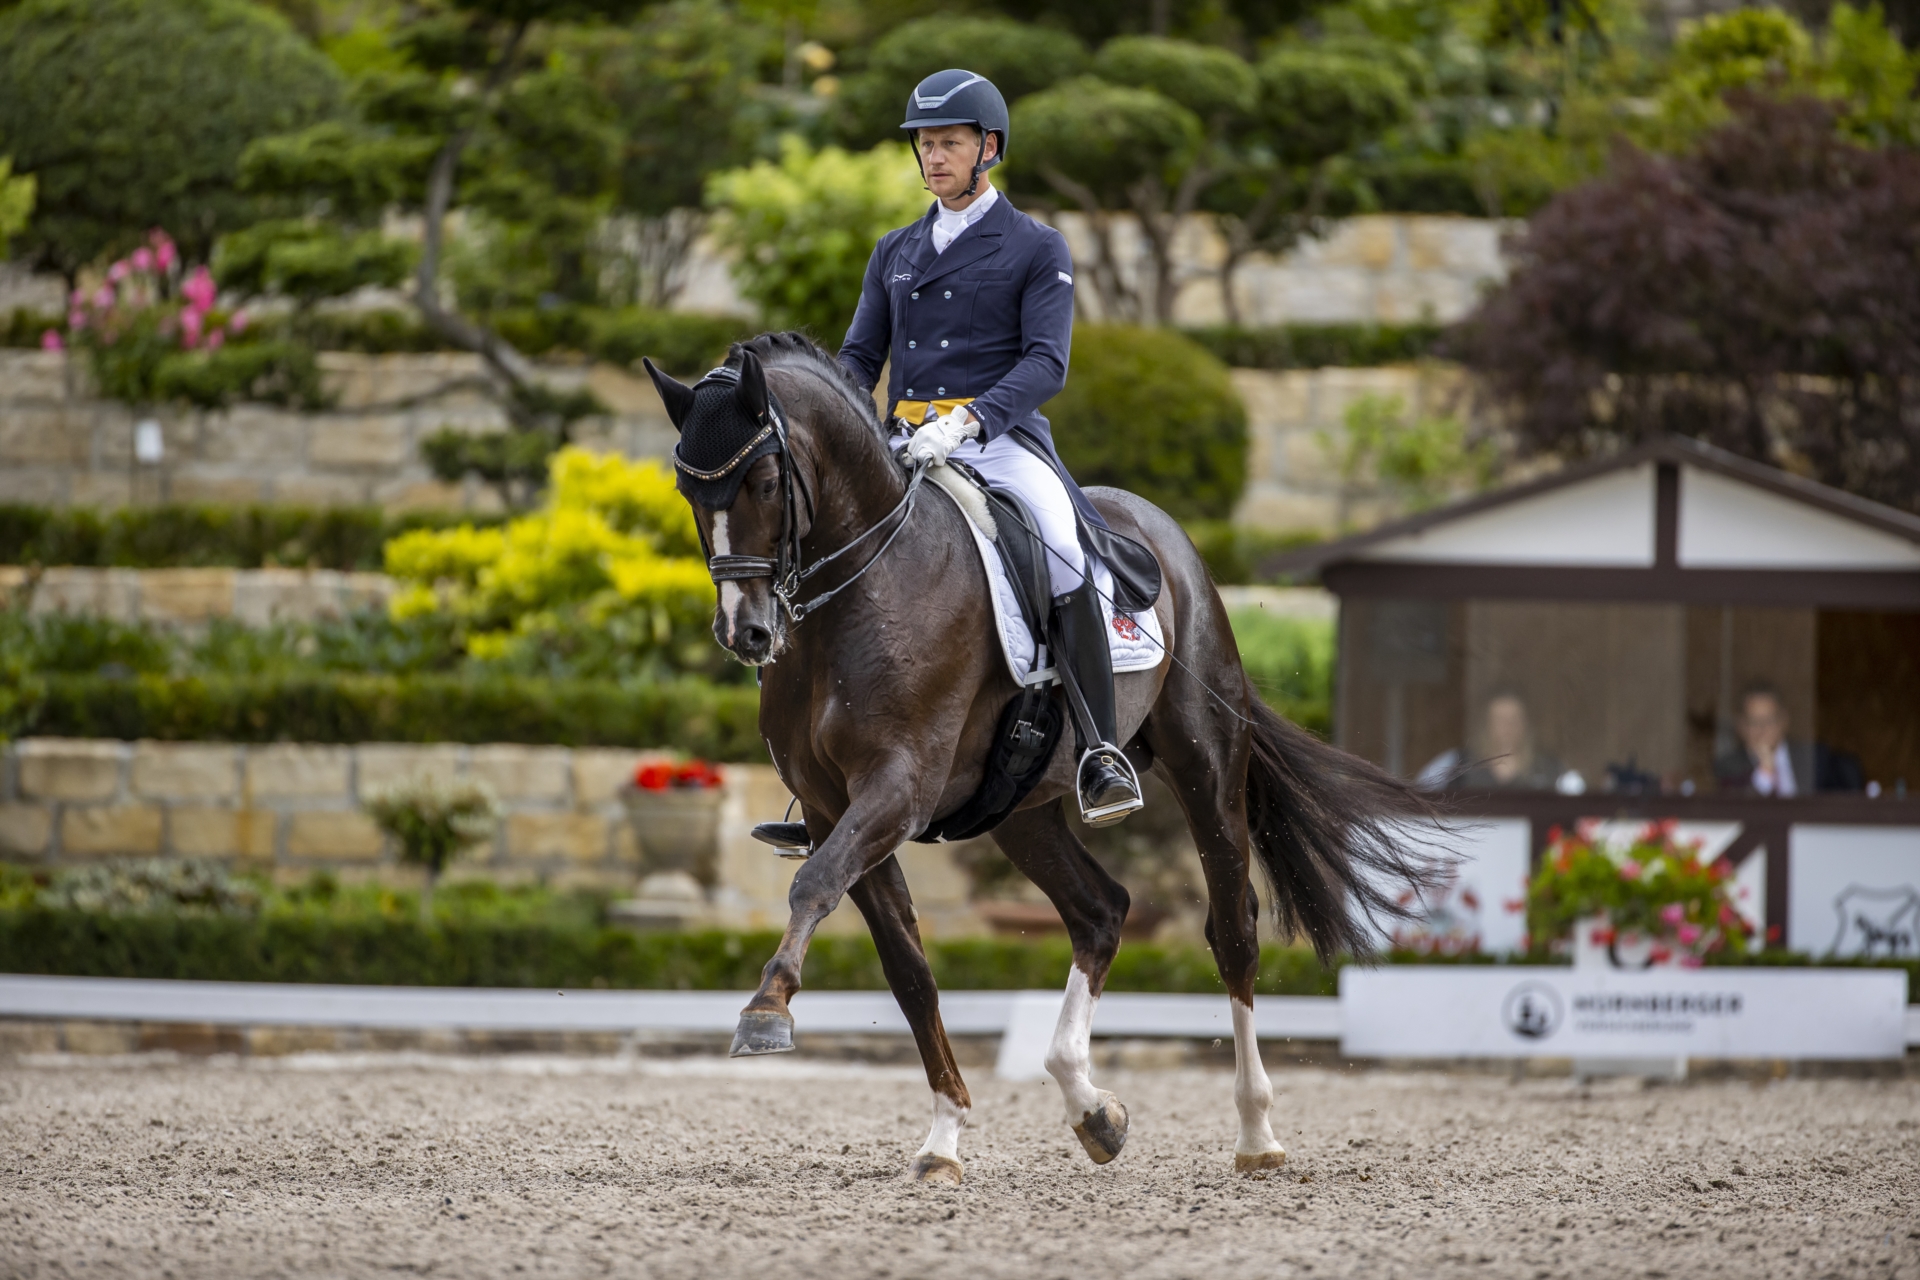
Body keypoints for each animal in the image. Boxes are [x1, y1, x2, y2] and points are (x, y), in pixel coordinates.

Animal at [644, 332, 1441, 1184]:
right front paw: (945, 1136)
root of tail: (1155, 526)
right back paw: (1091, 1106)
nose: (747, 633)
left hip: (1205, 766)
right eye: (689, 492)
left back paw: (1256, 1132)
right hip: (1018, 808)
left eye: (763, 481)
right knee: (1101, 911)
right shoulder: (833, 808)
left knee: (1233, 929)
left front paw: (765, 1010)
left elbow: (813, 885)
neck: (861, 591)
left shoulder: (897, 787)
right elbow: (906, 968)